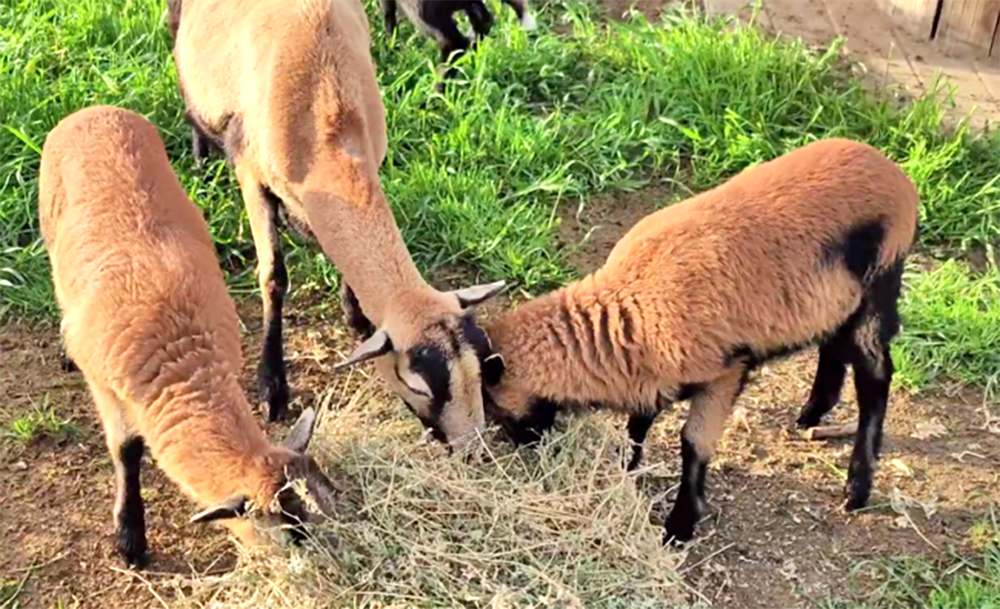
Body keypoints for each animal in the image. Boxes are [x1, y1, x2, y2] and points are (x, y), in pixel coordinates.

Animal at [38, 105, 341, 567]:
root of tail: (94, 109)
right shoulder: (108, 389)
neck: (184, 361)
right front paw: (130, 538)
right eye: (290, 534)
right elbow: (126, 451)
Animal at [167, 0, 505, 445]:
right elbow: (273, 277)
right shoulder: (250, 173)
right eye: (417, 384)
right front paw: (272, 387)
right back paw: (200, 155)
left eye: (480, 362)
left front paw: (356, 317)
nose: (472, 447)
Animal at [380, 0, 538, 80]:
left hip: (423, 9)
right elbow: (388, 13)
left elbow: (388, 13)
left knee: (454, 42)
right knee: (483, 20)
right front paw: (392, 48)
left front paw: (391, 50)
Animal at [477, 138, 919, 544]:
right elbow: (638, 423)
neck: (630, 303)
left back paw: (856, 488)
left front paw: (680, 524)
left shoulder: (725, 372)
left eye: (492, 403)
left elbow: (693, 445)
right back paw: (812, 413)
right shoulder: (650, 374)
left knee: (875, 376)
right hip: (835, 302)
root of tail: (894, 172)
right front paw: (627, 467)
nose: (523, 448)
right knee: (833, 345)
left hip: (879, 286)